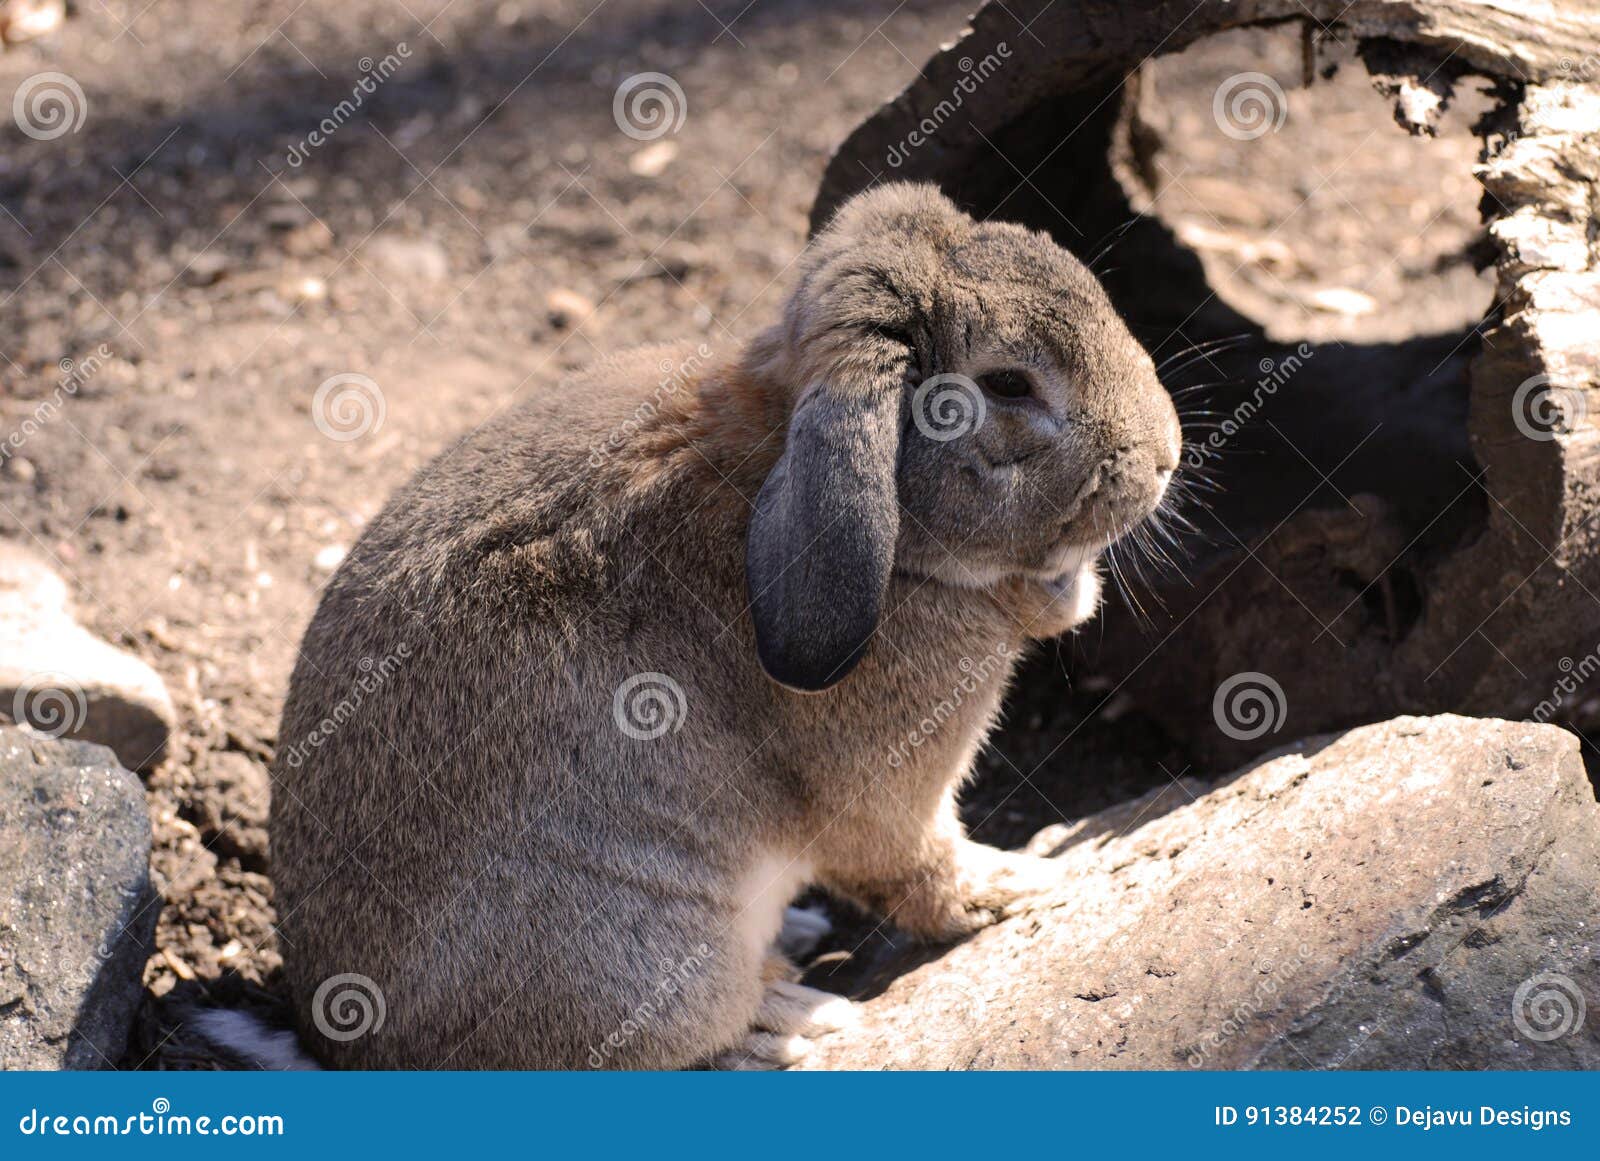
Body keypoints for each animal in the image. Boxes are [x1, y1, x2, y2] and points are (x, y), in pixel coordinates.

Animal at [264, 181, 1183, 1070]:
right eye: (1008, 384)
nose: (1166, 454)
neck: (903, 539)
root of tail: (341, 1040)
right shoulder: (889, 795)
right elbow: (917, 867)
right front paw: (1028, 880)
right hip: (650, 942)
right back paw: (790, 1018)